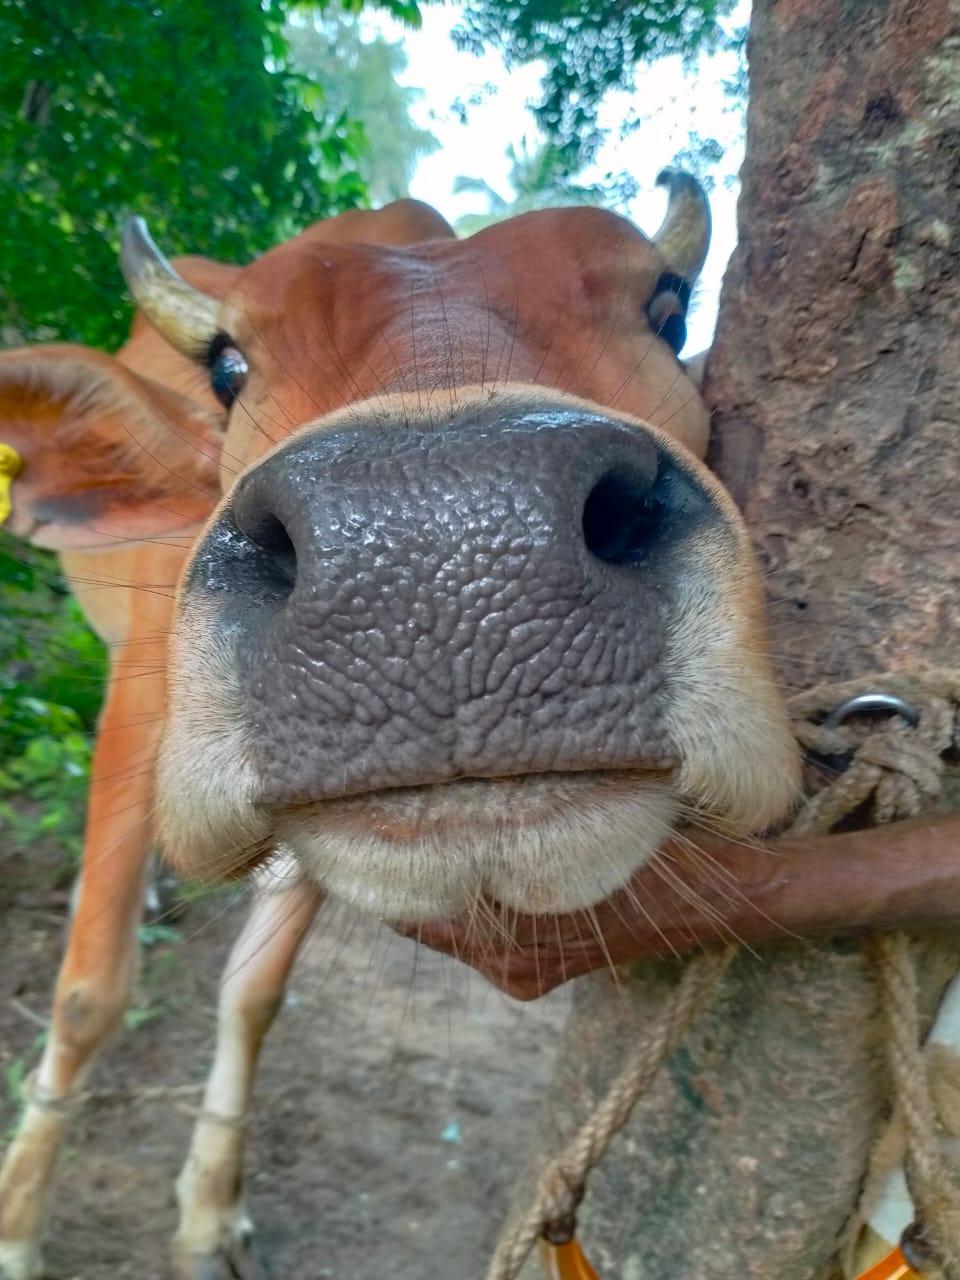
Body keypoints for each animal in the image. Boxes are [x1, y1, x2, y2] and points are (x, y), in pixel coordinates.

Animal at [0, 176, 800, 1280]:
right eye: (228, 366)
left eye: (670, 310)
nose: (442, 553)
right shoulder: (136, 703)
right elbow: (87, 996)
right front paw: (17, 1227)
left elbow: (253, 992)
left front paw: (208, 1211)